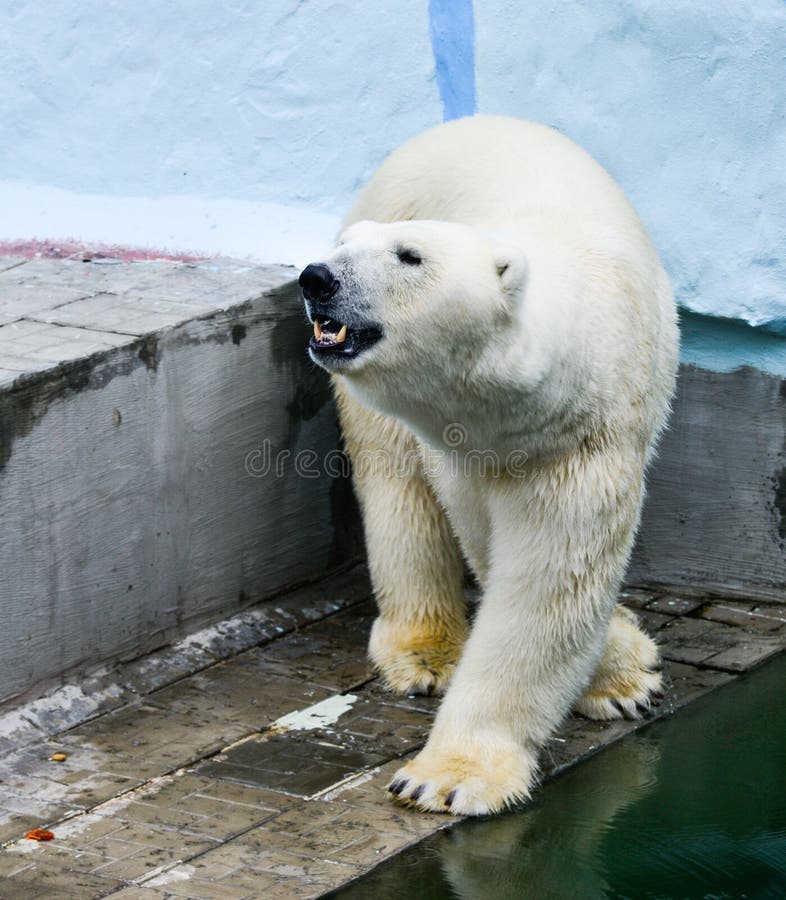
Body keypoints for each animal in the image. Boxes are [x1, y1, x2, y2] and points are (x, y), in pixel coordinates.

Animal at [299, 115, 679, 816]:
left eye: (410, 256)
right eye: (345, 247)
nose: (317, 278)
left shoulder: (581, 443)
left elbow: (551, 580)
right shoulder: (465, 451)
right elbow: (515, 563)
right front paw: (445, 775)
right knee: (393, 477)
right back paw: (425, 654)